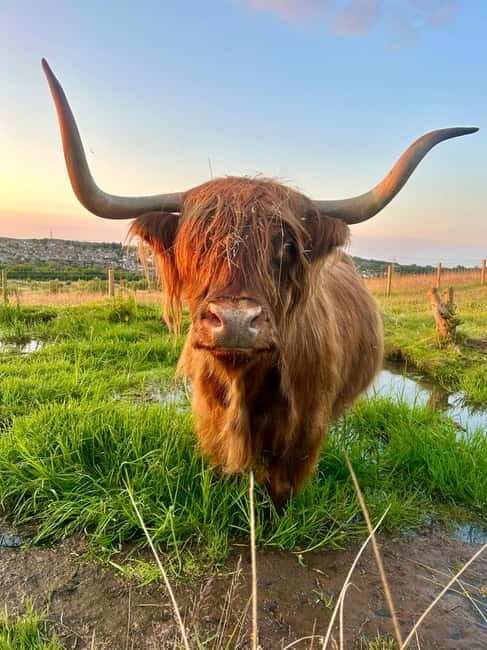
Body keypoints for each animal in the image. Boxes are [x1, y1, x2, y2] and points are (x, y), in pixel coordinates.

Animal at [42, 59, 477, 506]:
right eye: (195, 244)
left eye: (286, 245)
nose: (235, 321)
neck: (243, 387)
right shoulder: (210, 425)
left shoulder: (303, 437)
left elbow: (280, 494)